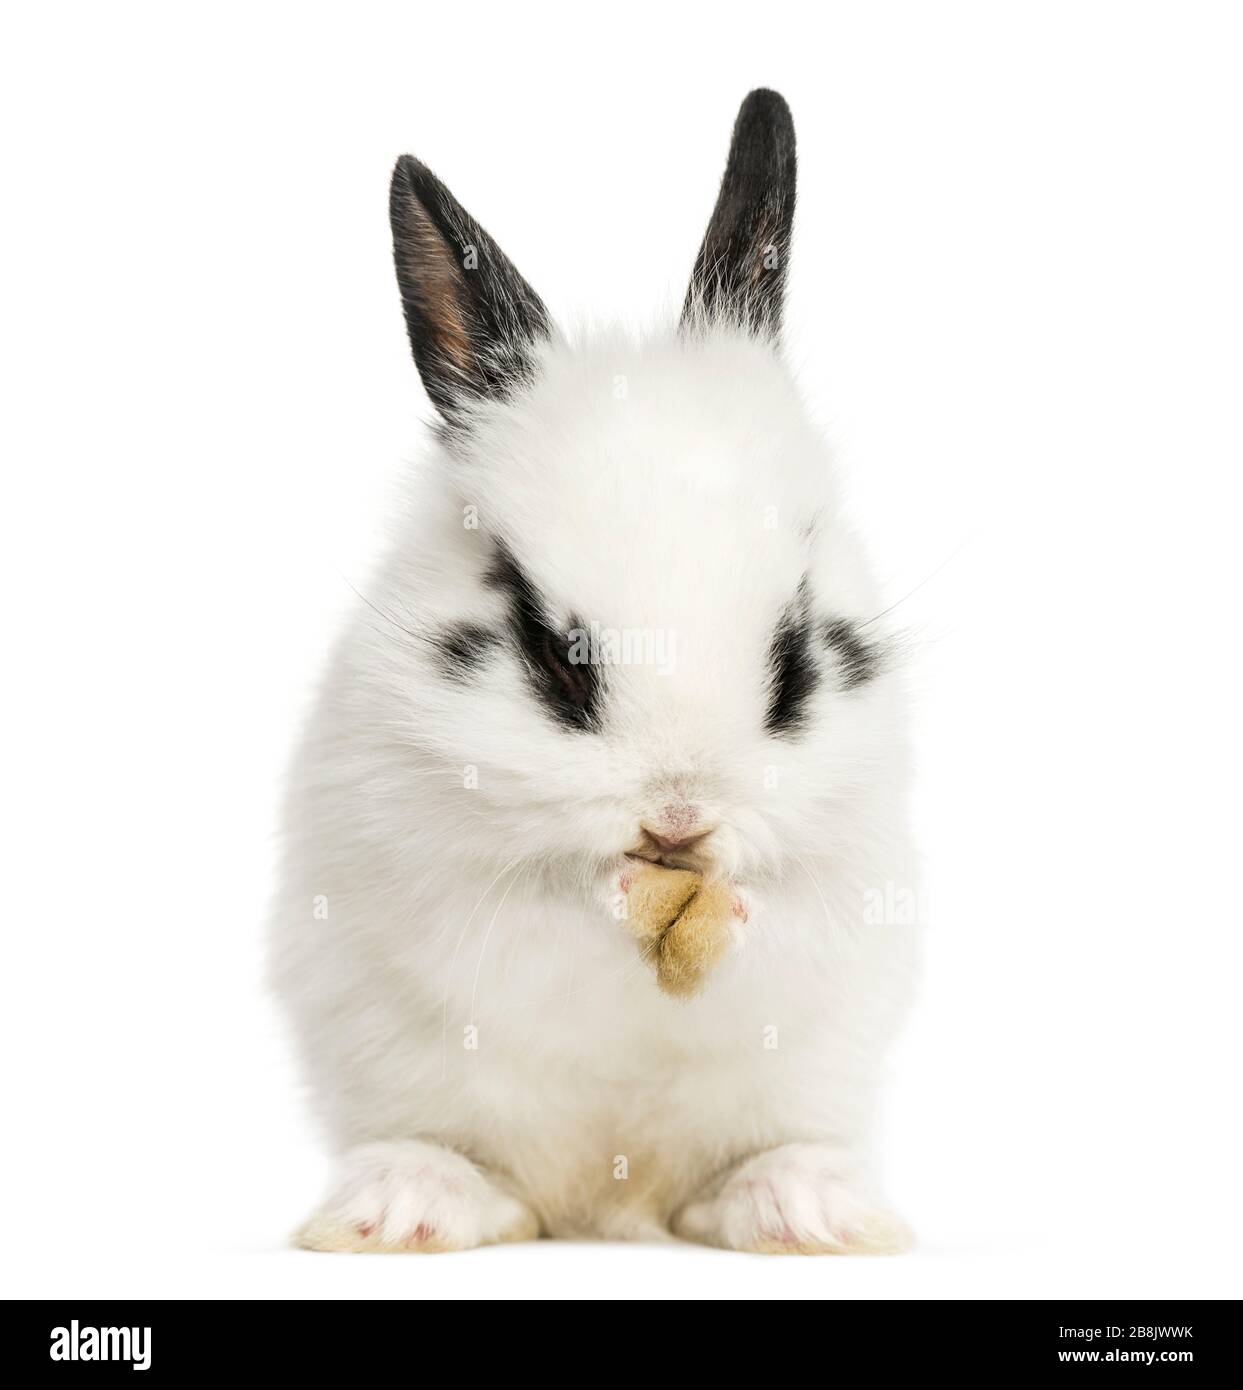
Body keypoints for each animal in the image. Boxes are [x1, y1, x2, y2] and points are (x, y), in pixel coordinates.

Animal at [270, 89, 919, 1255]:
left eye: (794, 655)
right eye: (550, 653)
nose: (679, 817)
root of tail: (614, 1203)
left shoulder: (851, 880)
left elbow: (783, 921)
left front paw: (728, 902)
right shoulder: (452, 890)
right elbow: (543, 915)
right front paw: (617, 886)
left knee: (721, 1181)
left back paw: (805, 1207)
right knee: (493, 1183)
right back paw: (404, 1204)